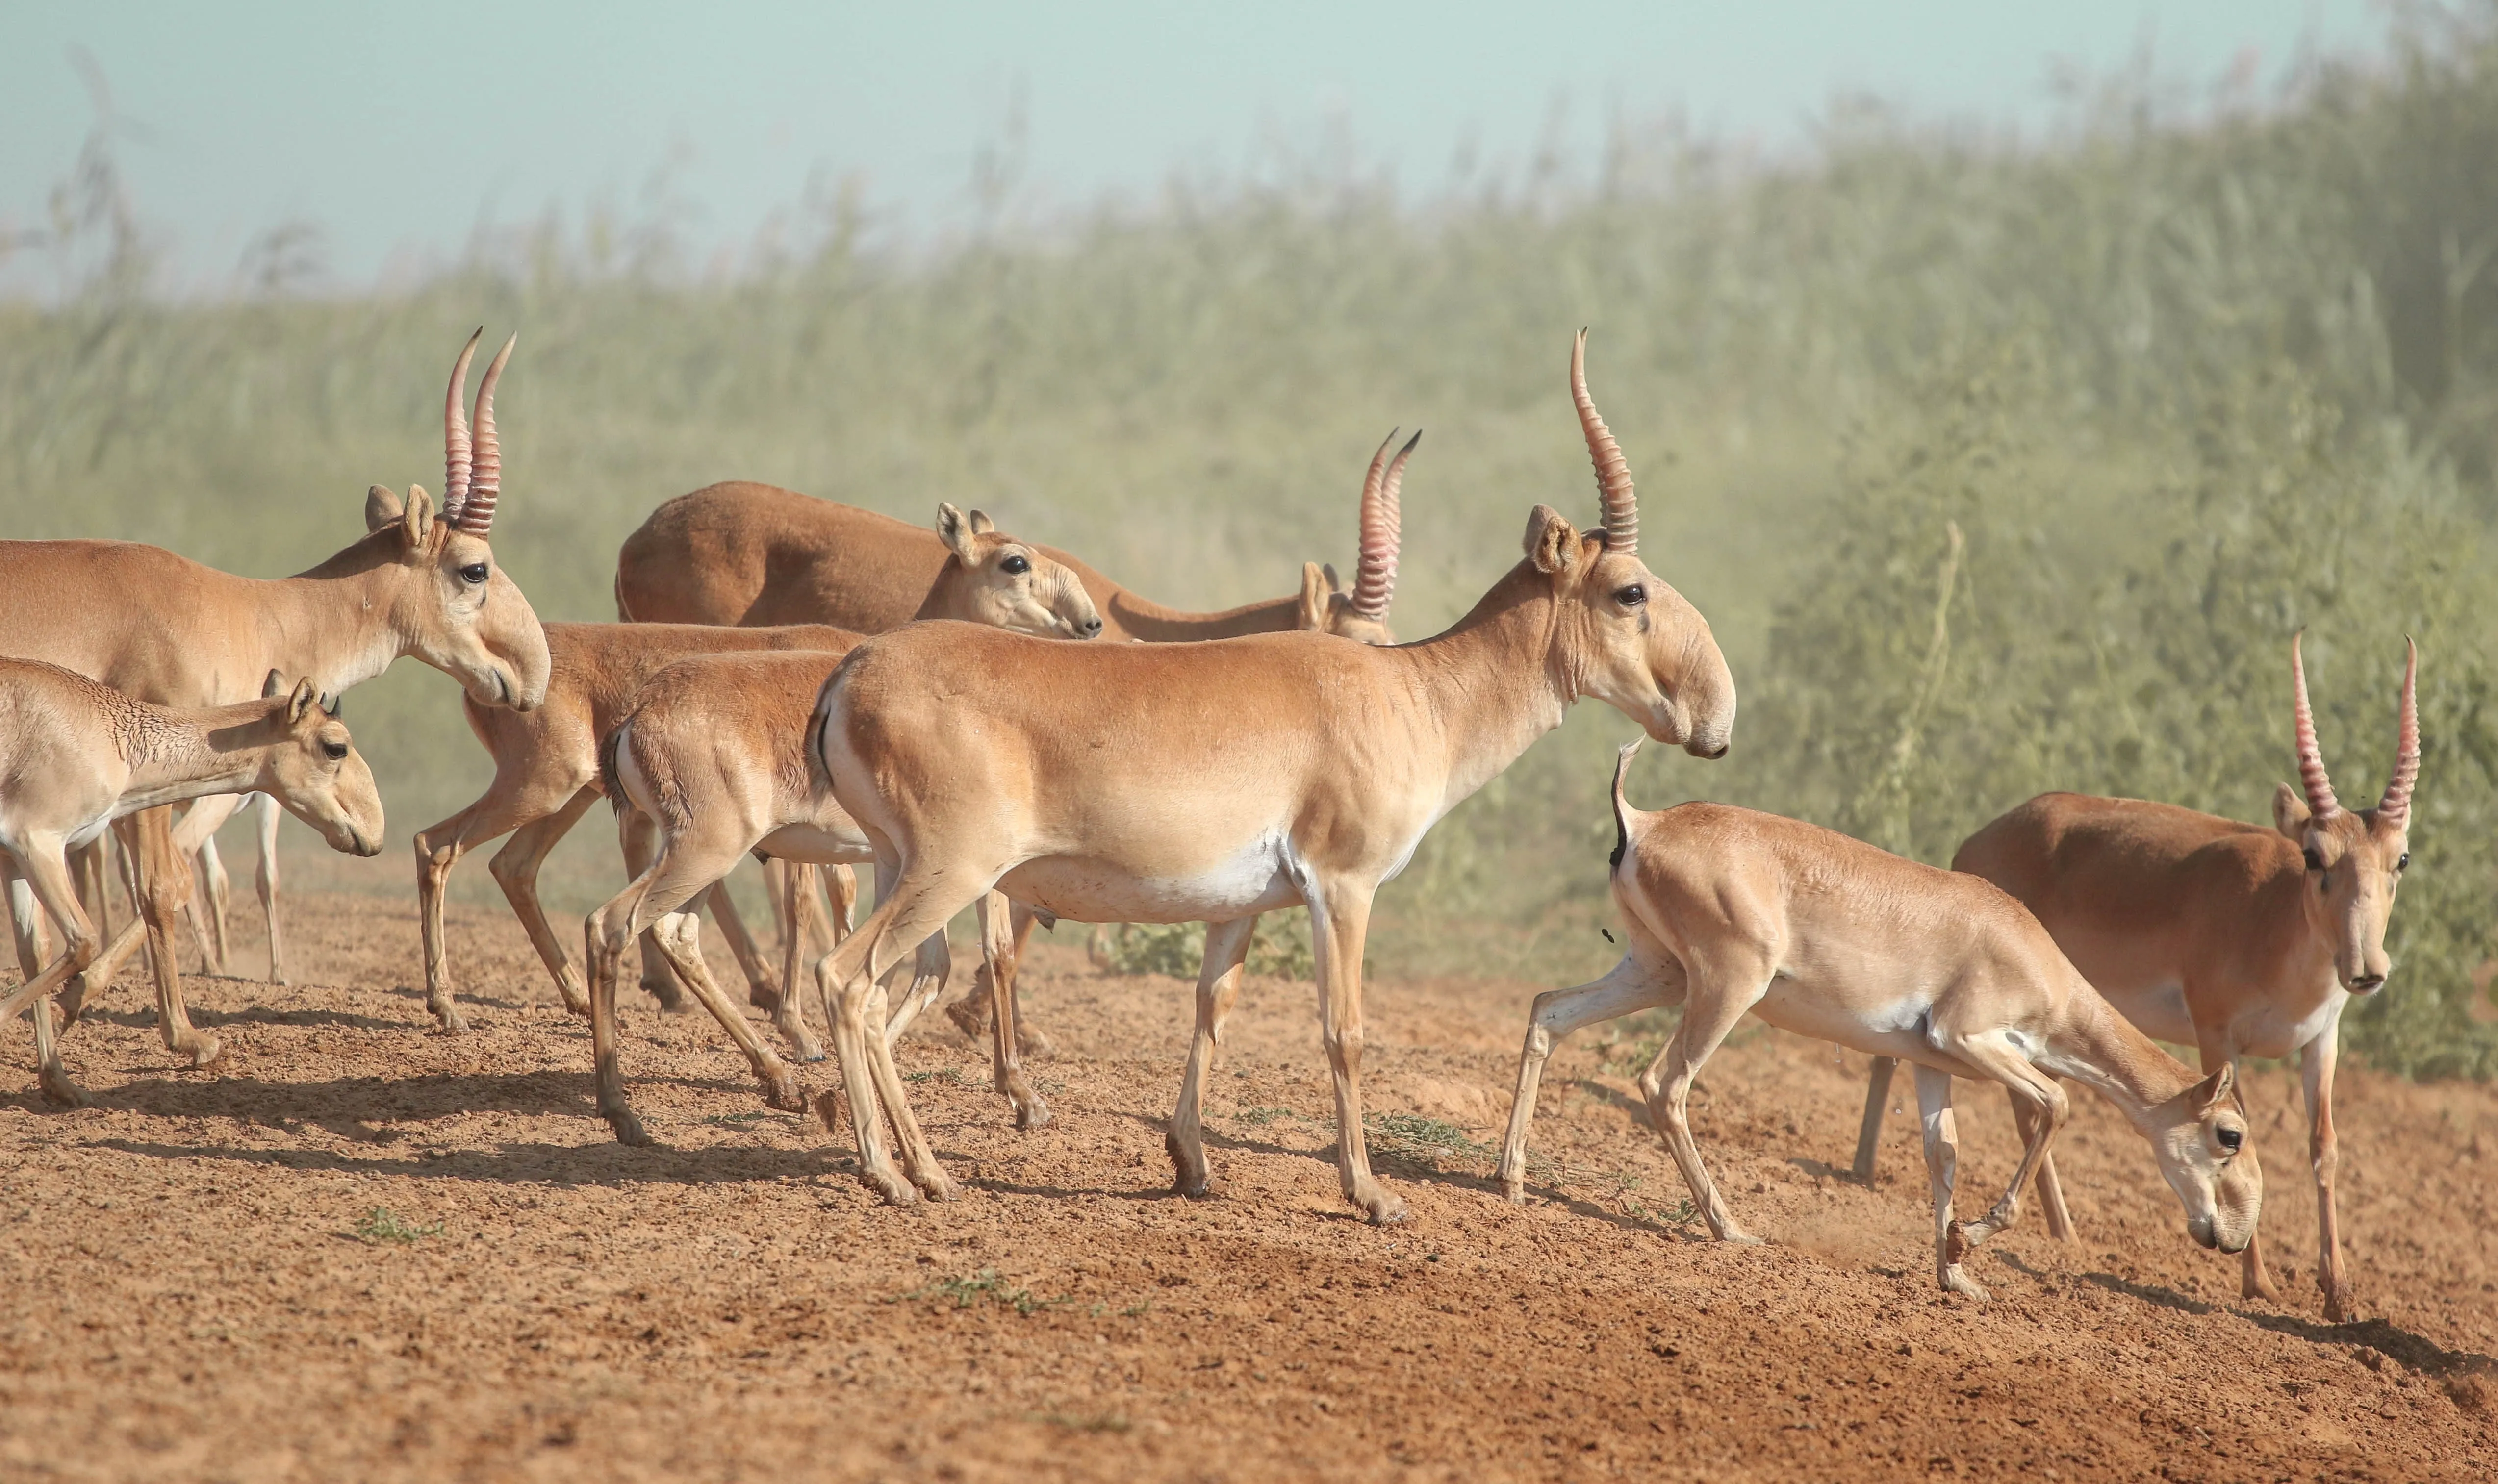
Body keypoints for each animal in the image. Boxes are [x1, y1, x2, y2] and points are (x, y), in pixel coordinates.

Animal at [0, 662, 383, 1104]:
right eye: (336, 747)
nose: (376, 832)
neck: (112, 738)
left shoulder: (15, 859)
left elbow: (36, 950)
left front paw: (59, 1082)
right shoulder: (36, 842)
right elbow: (84, 940)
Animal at [409, 495, 1100, 1035]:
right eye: (1016, 561)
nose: (1090, 622)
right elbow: (815, 907)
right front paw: (800, 1025)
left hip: (569, 797)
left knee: (515, 867)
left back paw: (584, 997)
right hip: (542, 789)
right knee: (437, 845)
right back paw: (449, 1007)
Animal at [803, 333, 1732, 1219]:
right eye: (1629, 590)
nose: (1714, 719)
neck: (1411, 691)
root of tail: (853, 670)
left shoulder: (1236, 906)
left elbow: (1211, 1010)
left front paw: (1192, 1165)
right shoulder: (1343, 888)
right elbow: (1343, 1030)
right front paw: (1371, 1195)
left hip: (897, 865)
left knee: (890, 992)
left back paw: (920, 1167)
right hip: (947, 872)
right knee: (846, 979)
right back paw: (893, 1173)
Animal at [1496, 743, 2264, 1300]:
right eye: (2229, 1133)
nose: (2231, 1233)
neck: (2030, 951)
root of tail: (1644, 821)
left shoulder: (1932, 1064)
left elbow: (1943, 1155)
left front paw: (1955, 1273)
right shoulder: (1972, 1039)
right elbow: (2057, 1102)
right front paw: (1966, 1243)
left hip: (1658, 973)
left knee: (1549, 1012)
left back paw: (1511, 1180)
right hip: (1723, 988)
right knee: (1664, 1085)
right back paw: (1731, 1228)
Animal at [1851, 635, 2415, 1320]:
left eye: (2401, 858)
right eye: (2314, 855)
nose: (2367, 970)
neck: (2272, 915)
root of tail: (1975, 843)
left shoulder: (2322, 1039)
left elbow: (2324, 1146)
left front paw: (2339, 1296)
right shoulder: (2216, 1034)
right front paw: (2259, 1282)